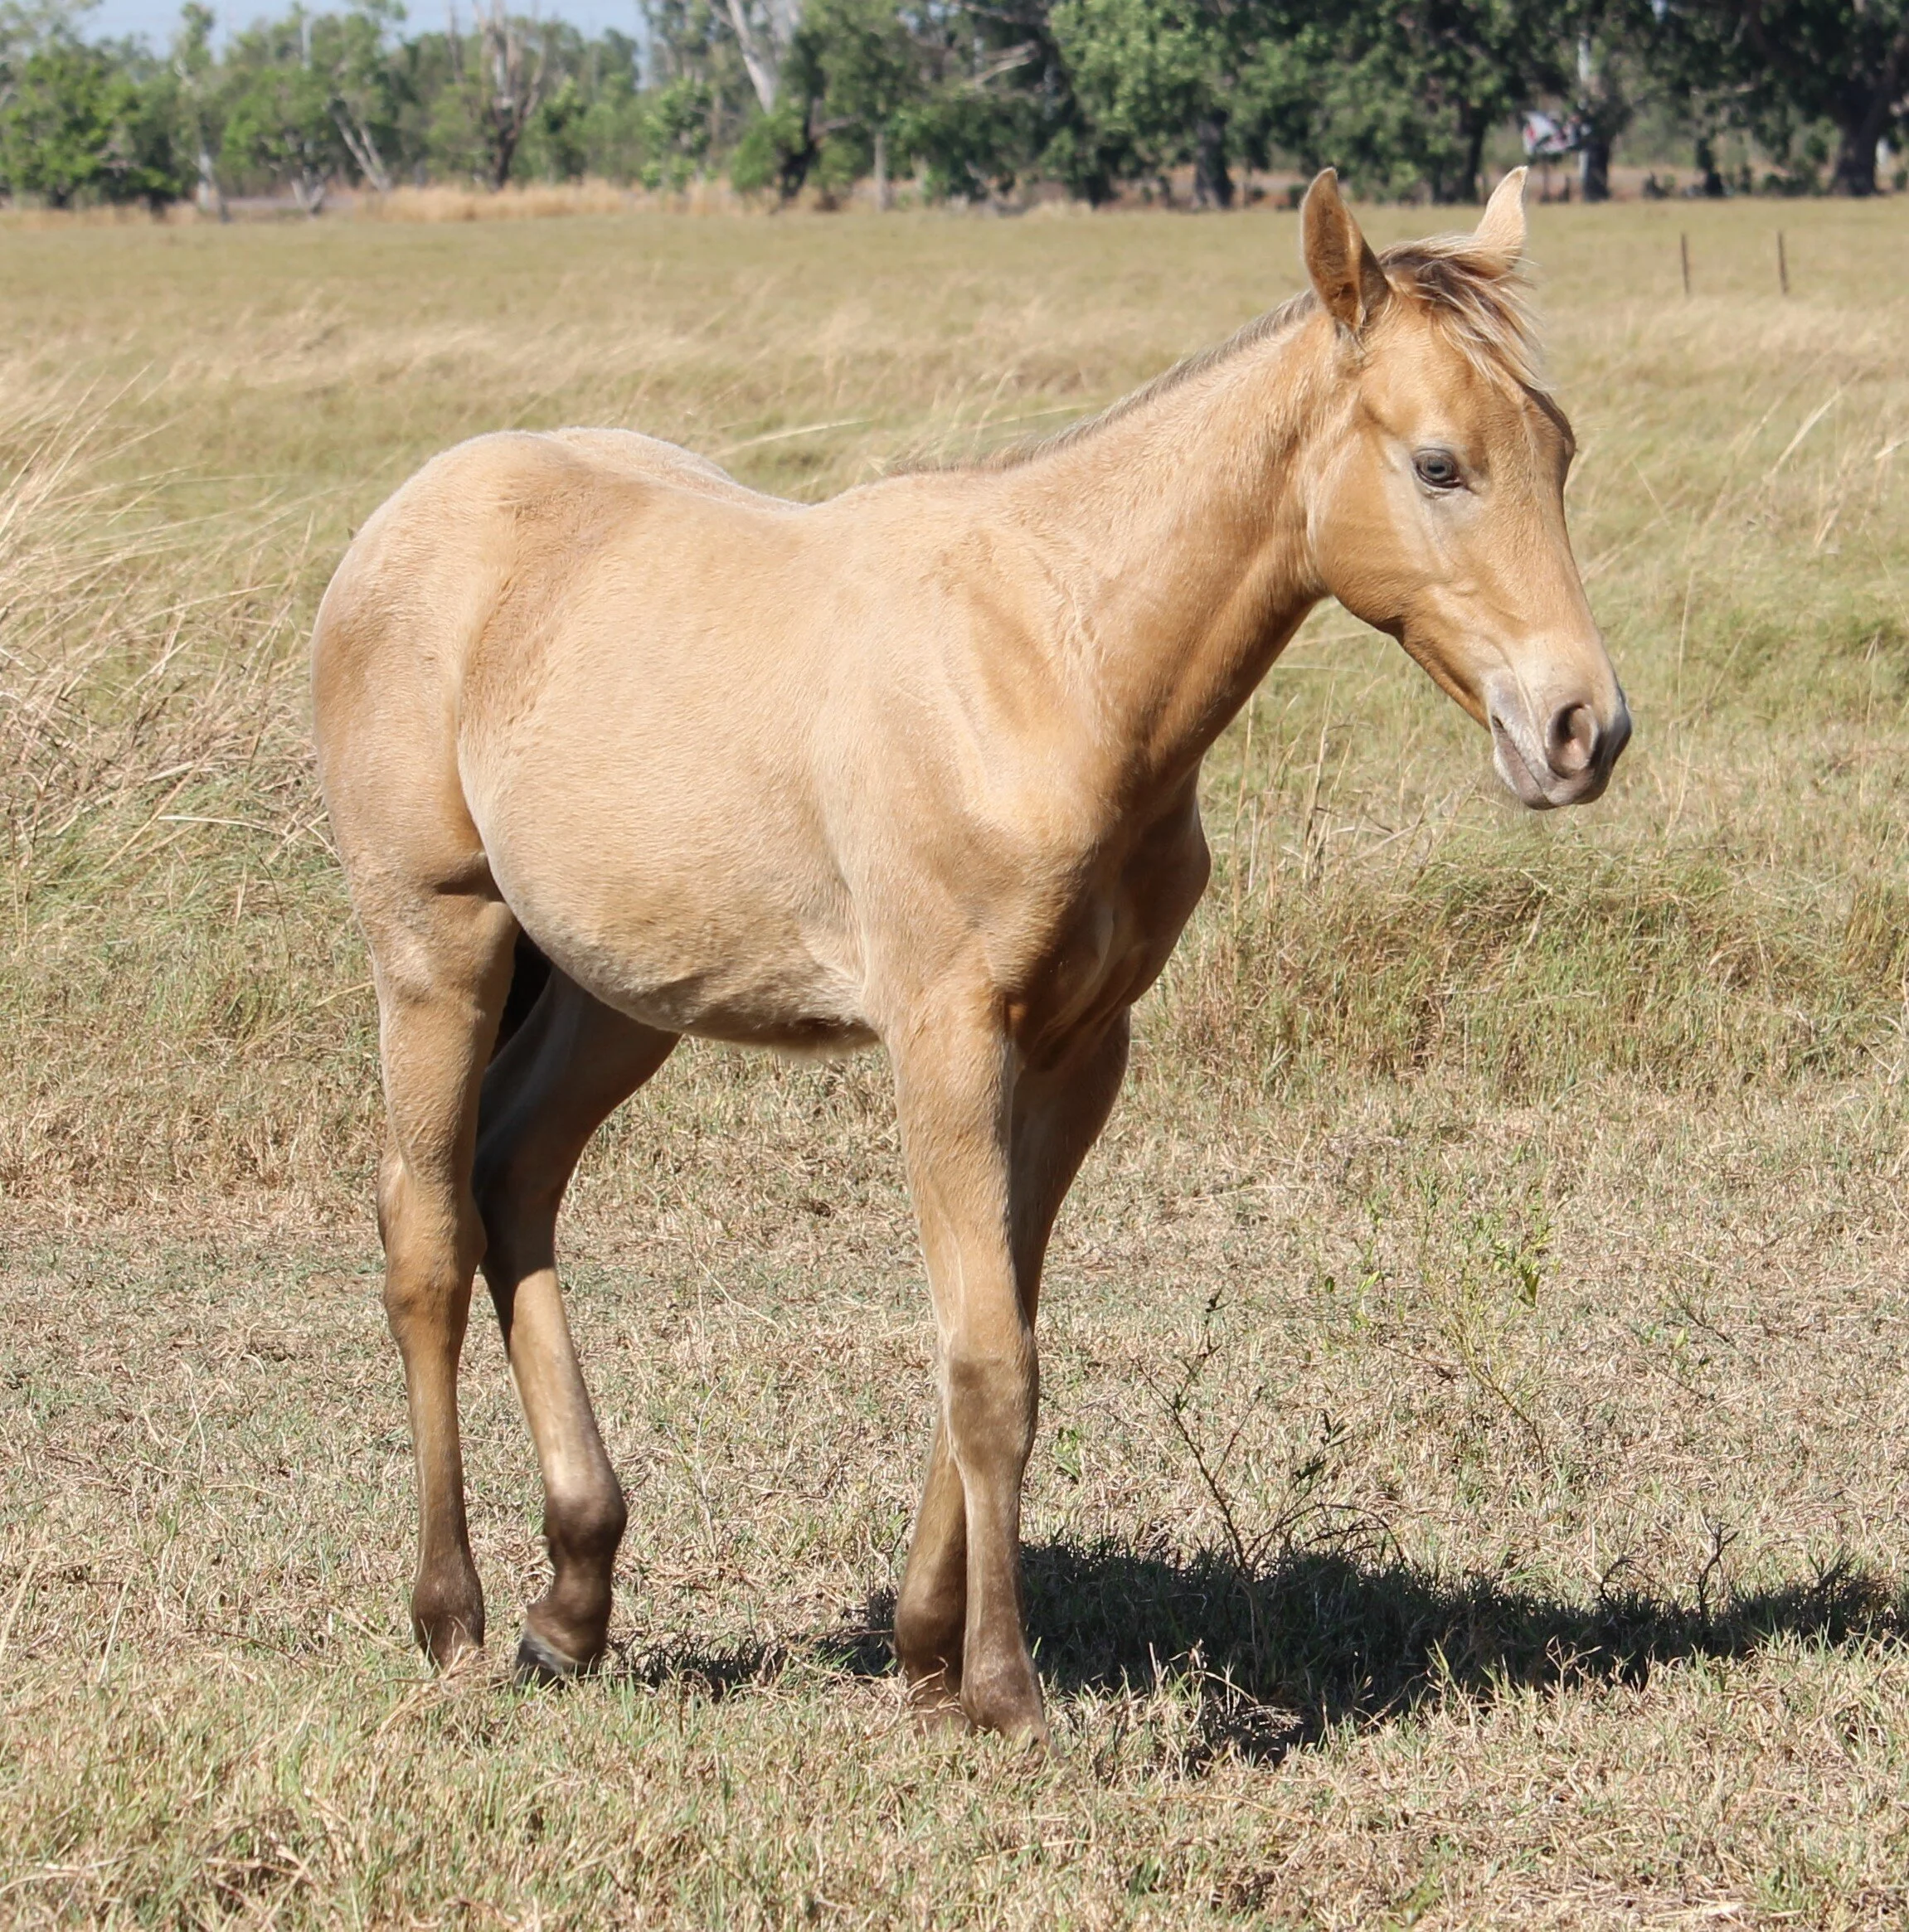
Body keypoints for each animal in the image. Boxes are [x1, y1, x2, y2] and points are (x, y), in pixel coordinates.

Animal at [312, 168, 1629, 1745]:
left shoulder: (1074, 1050)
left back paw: (572, 1605)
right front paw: (1004, 1692)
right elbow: (989, 1359)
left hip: (614, 996)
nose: (1580, 729)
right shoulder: (945, 1034)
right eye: (1438, 465)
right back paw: (451, 1616)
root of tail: (407, 516)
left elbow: (1001, 1321)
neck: (1052, 668)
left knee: (514, 1180)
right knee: (427, 1235)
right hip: (435, 949)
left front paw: (928, 1650)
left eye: (1557, 449)